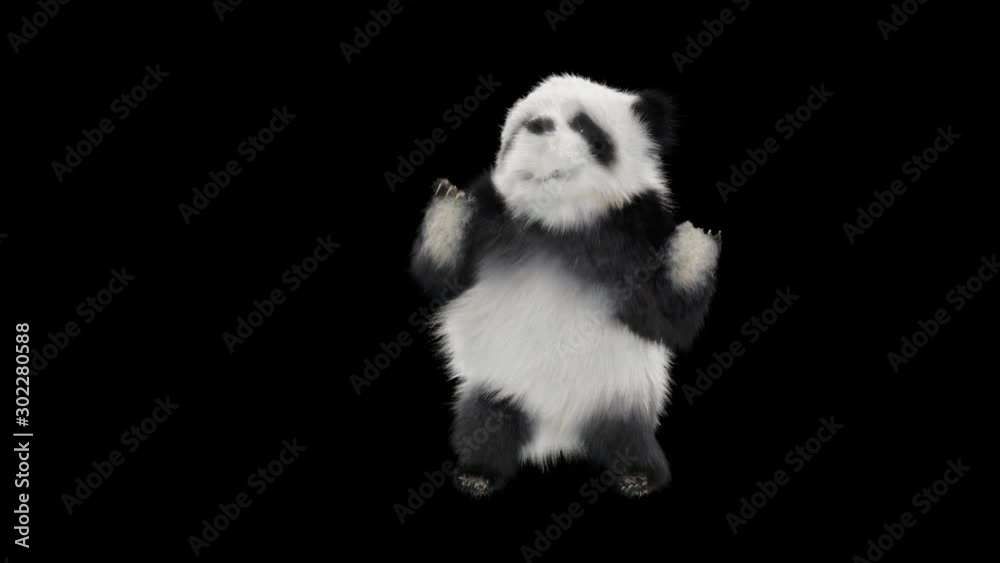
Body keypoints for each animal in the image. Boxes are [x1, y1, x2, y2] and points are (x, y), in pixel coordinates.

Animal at [410, 74, 720, 498]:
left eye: (585, 128)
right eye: (521, 125)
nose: (538, 126)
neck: (558, 217)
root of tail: (557, 436)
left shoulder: (633, 233)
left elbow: (663, 320)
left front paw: (696, 243)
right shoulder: (493, 218)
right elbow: (443, 281)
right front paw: (449, 204)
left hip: (618, 394)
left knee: (627, 435)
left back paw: (637, 475)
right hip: (498, 385)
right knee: (485, 422)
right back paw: (478, 473)